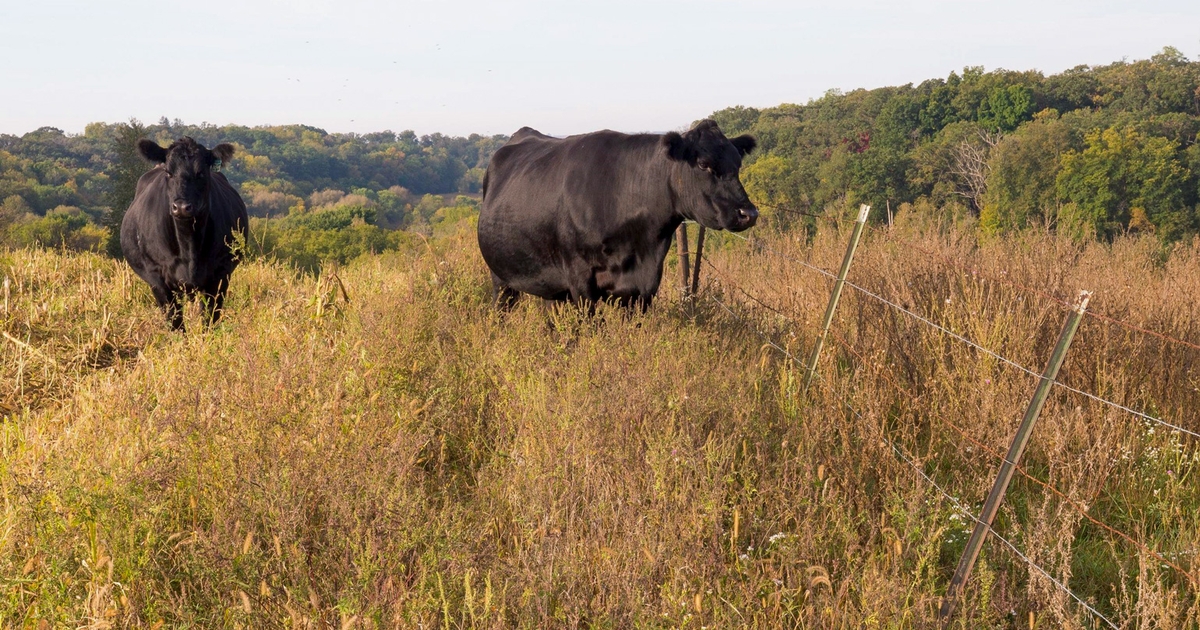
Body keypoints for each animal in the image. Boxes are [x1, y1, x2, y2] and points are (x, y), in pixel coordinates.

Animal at [121, 137, 249, 330]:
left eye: (201, 173)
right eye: (168, 172)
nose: (181, 207)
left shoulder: (220, 274)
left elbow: (209, 318)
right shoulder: (157, 279)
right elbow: (175, 322)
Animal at [477, 119, 757, 310]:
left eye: (738, 163)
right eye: (703, 164)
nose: (749, 212)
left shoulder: (644, 286)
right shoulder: (581, 280)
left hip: (551, 286)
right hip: (501, 276)